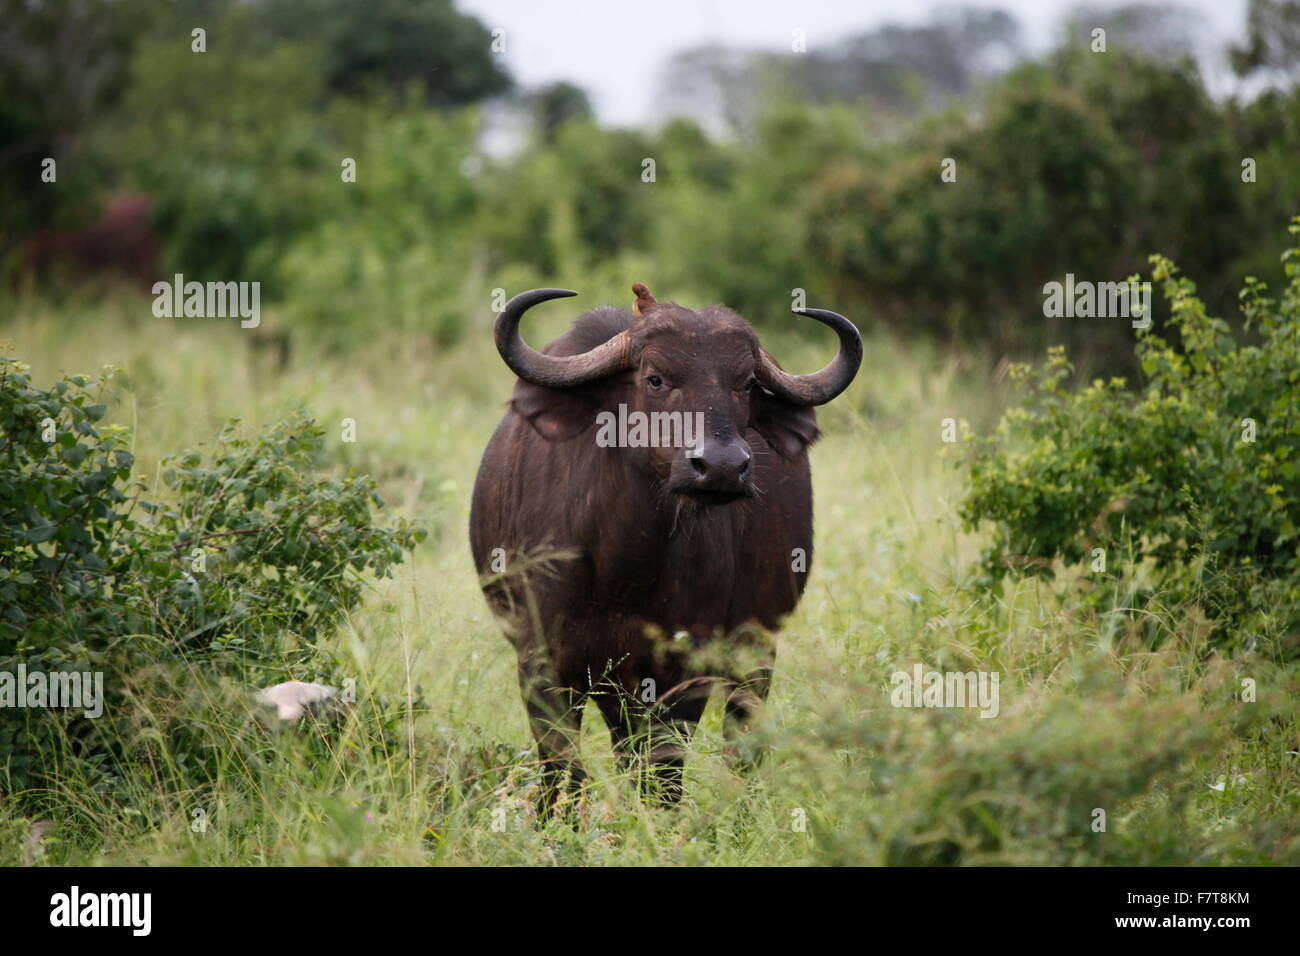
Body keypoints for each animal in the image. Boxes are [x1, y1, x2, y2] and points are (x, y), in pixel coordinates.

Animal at [470, 283, 861, 809]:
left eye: (745, 384)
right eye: (655, 379)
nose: (722, 467)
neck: (620, 567)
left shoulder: (685, 667)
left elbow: (664, 772)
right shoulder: (541, 659)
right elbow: (563, 767)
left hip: (756, 647)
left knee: (741, 744)